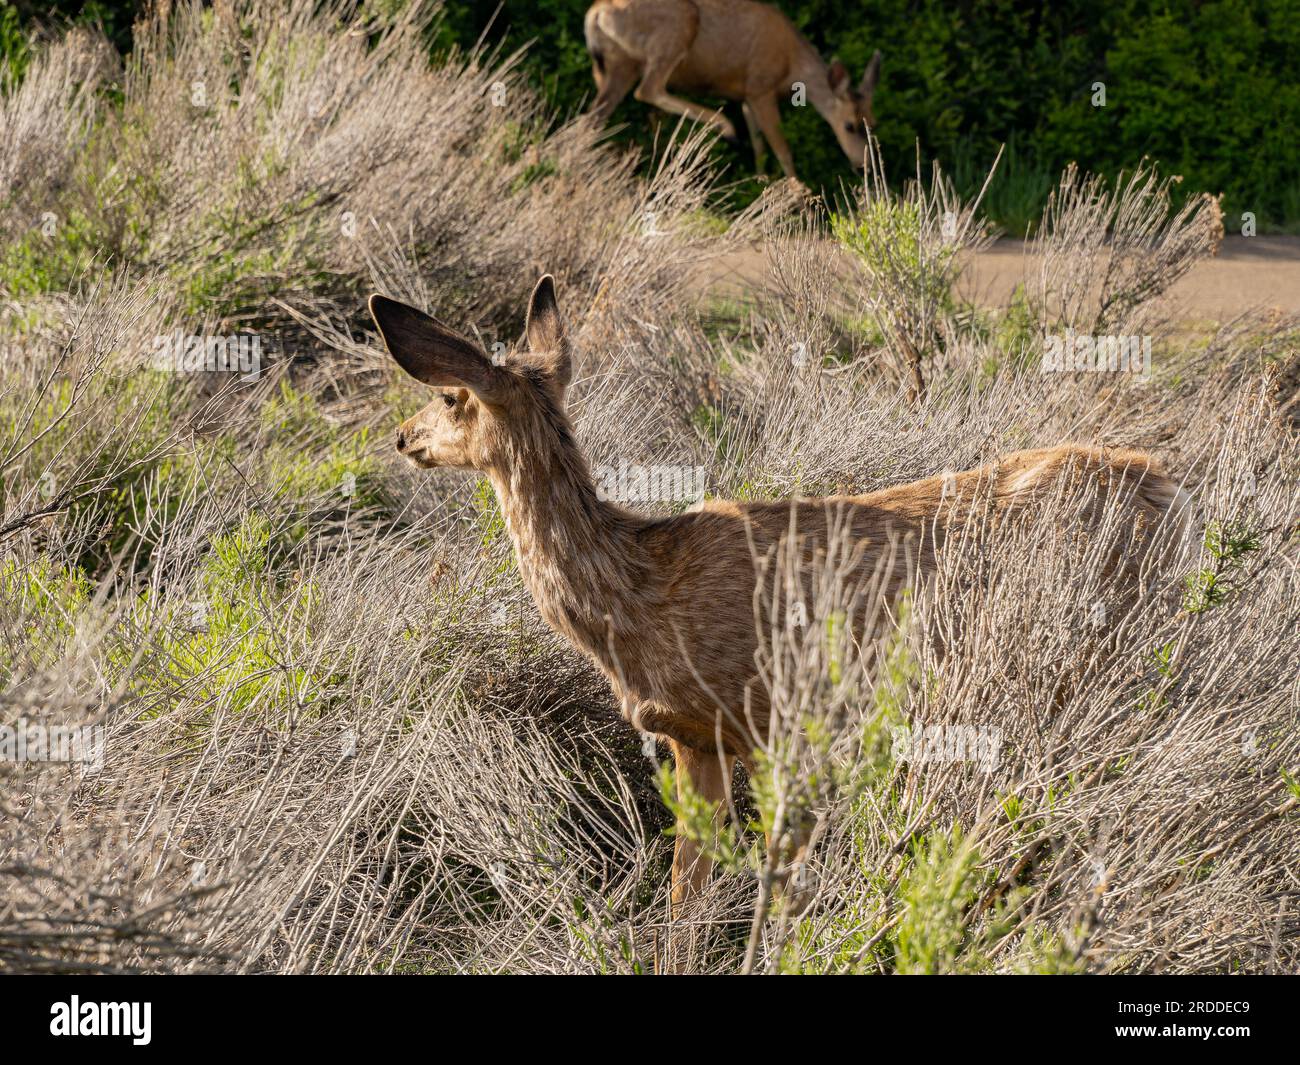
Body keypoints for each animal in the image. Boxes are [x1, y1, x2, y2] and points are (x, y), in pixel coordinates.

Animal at [368, 275, 1193, 922]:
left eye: (450, 395)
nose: (403, 435)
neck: (639, 593)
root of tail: (1171, 491)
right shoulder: (698, 737)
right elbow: (687, 894)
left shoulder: (773, 719)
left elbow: (774, 886)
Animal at [583, 0, 881, 178]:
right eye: (849, 125)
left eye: (873, 123)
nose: (865, 166)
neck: (792, 66)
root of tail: (596, 13)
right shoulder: (760, 88)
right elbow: (783, 150)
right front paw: (802, 203)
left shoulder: (746, 96)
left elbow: (759, 144)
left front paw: (762, 182)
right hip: (676, 30)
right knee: (648, 89)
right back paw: (724, 126)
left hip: (615, 65)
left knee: (593, 117)